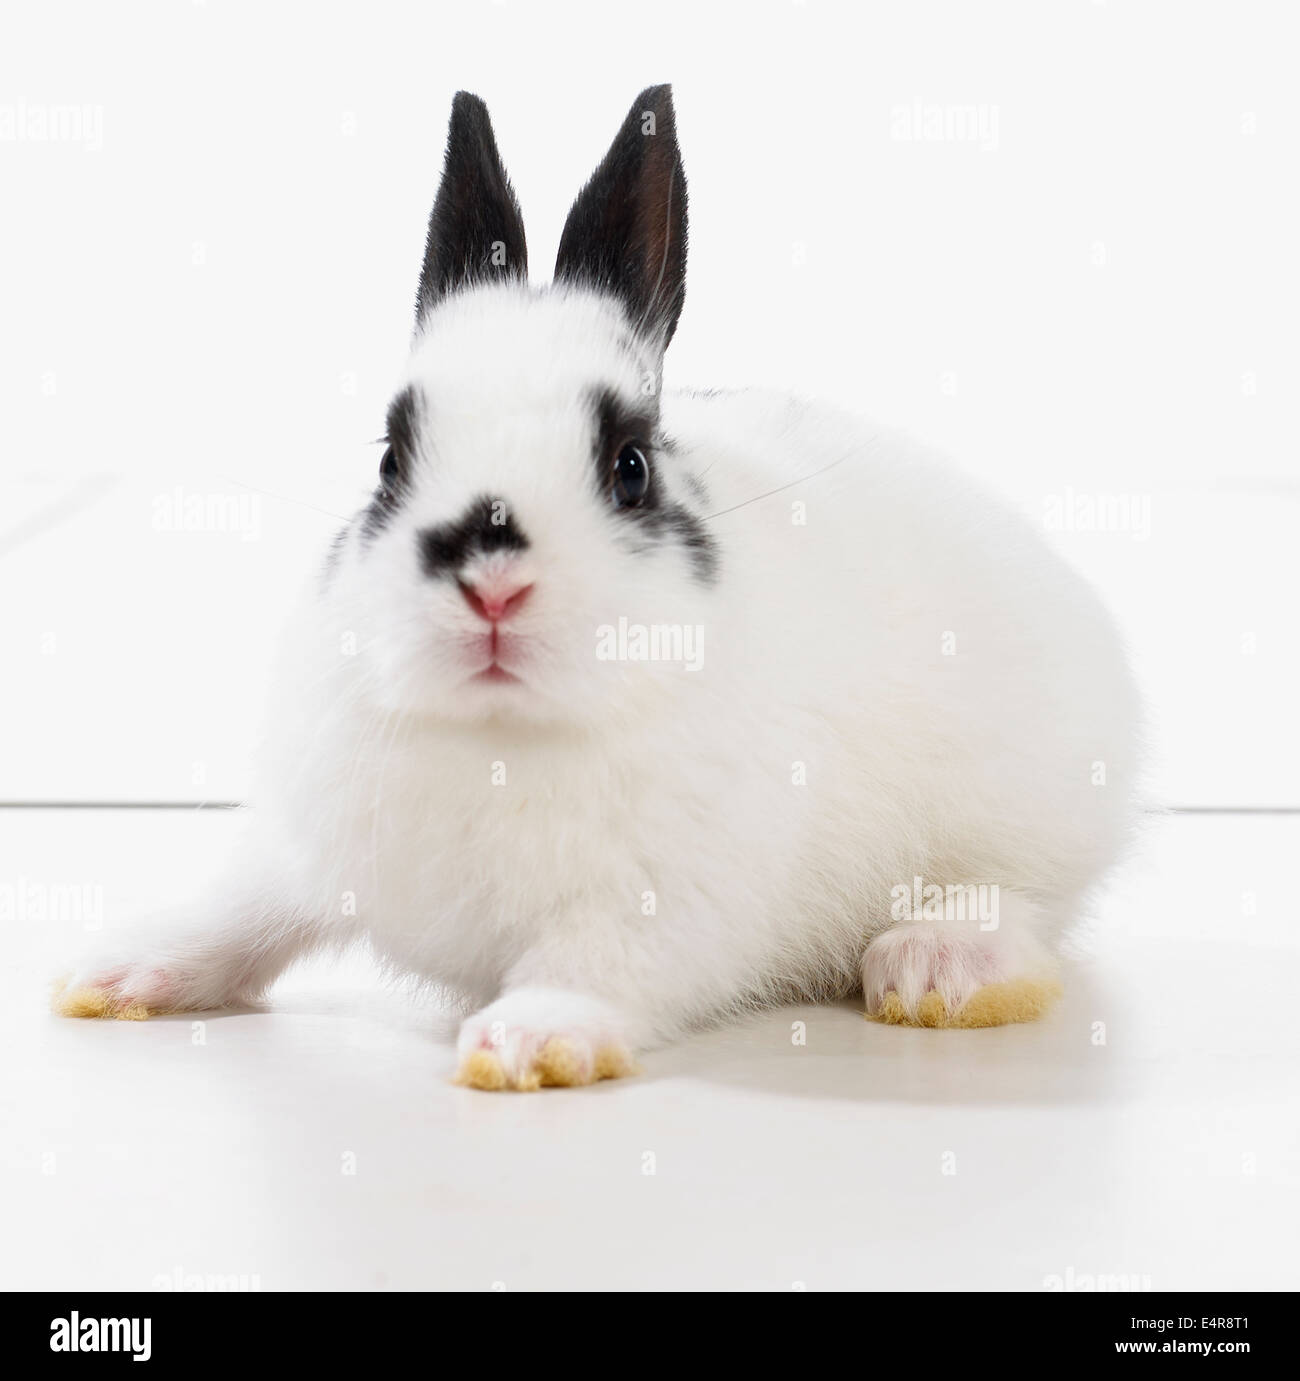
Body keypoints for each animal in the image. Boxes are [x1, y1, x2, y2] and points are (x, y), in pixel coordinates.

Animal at [56, 85, 1141, 1091]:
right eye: (390, 460)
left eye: (629, 467)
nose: (492, 586)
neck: (501, 738)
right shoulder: (301, 849)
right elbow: (239, 911)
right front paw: (112, 974)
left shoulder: (661, 906)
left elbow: (592, 966)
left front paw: (524, 1043)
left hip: (1025, 815)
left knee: (1019, 896)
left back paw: (938, 966)